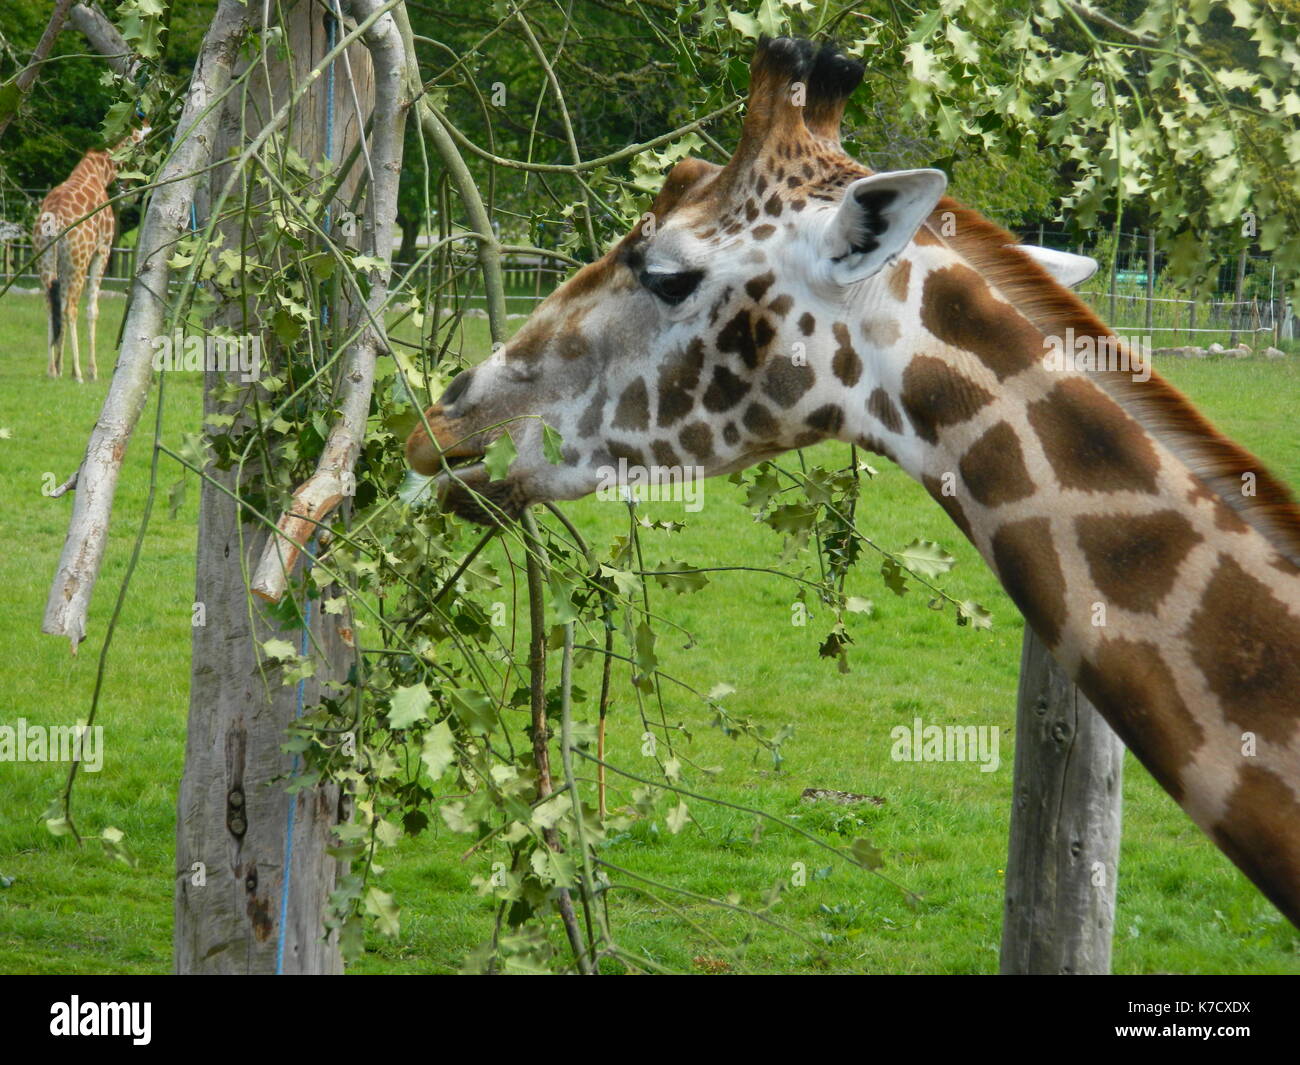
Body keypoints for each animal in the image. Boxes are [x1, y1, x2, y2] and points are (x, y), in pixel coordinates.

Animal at [33, 127, 146, 382]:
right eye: (145, 146)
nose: (134, 190)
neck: (100, 173)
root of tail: (54, 216)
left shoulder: (64, 263)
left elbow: (60, 305)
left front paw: (60, 366)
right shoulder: (102, 250)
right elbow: (92, 309)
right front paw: (92, 370)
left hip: (47, 260)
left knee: (51, 306)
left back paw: (51, 370)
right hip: (79, 259)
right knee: (71, 308)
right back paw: (78, 373)